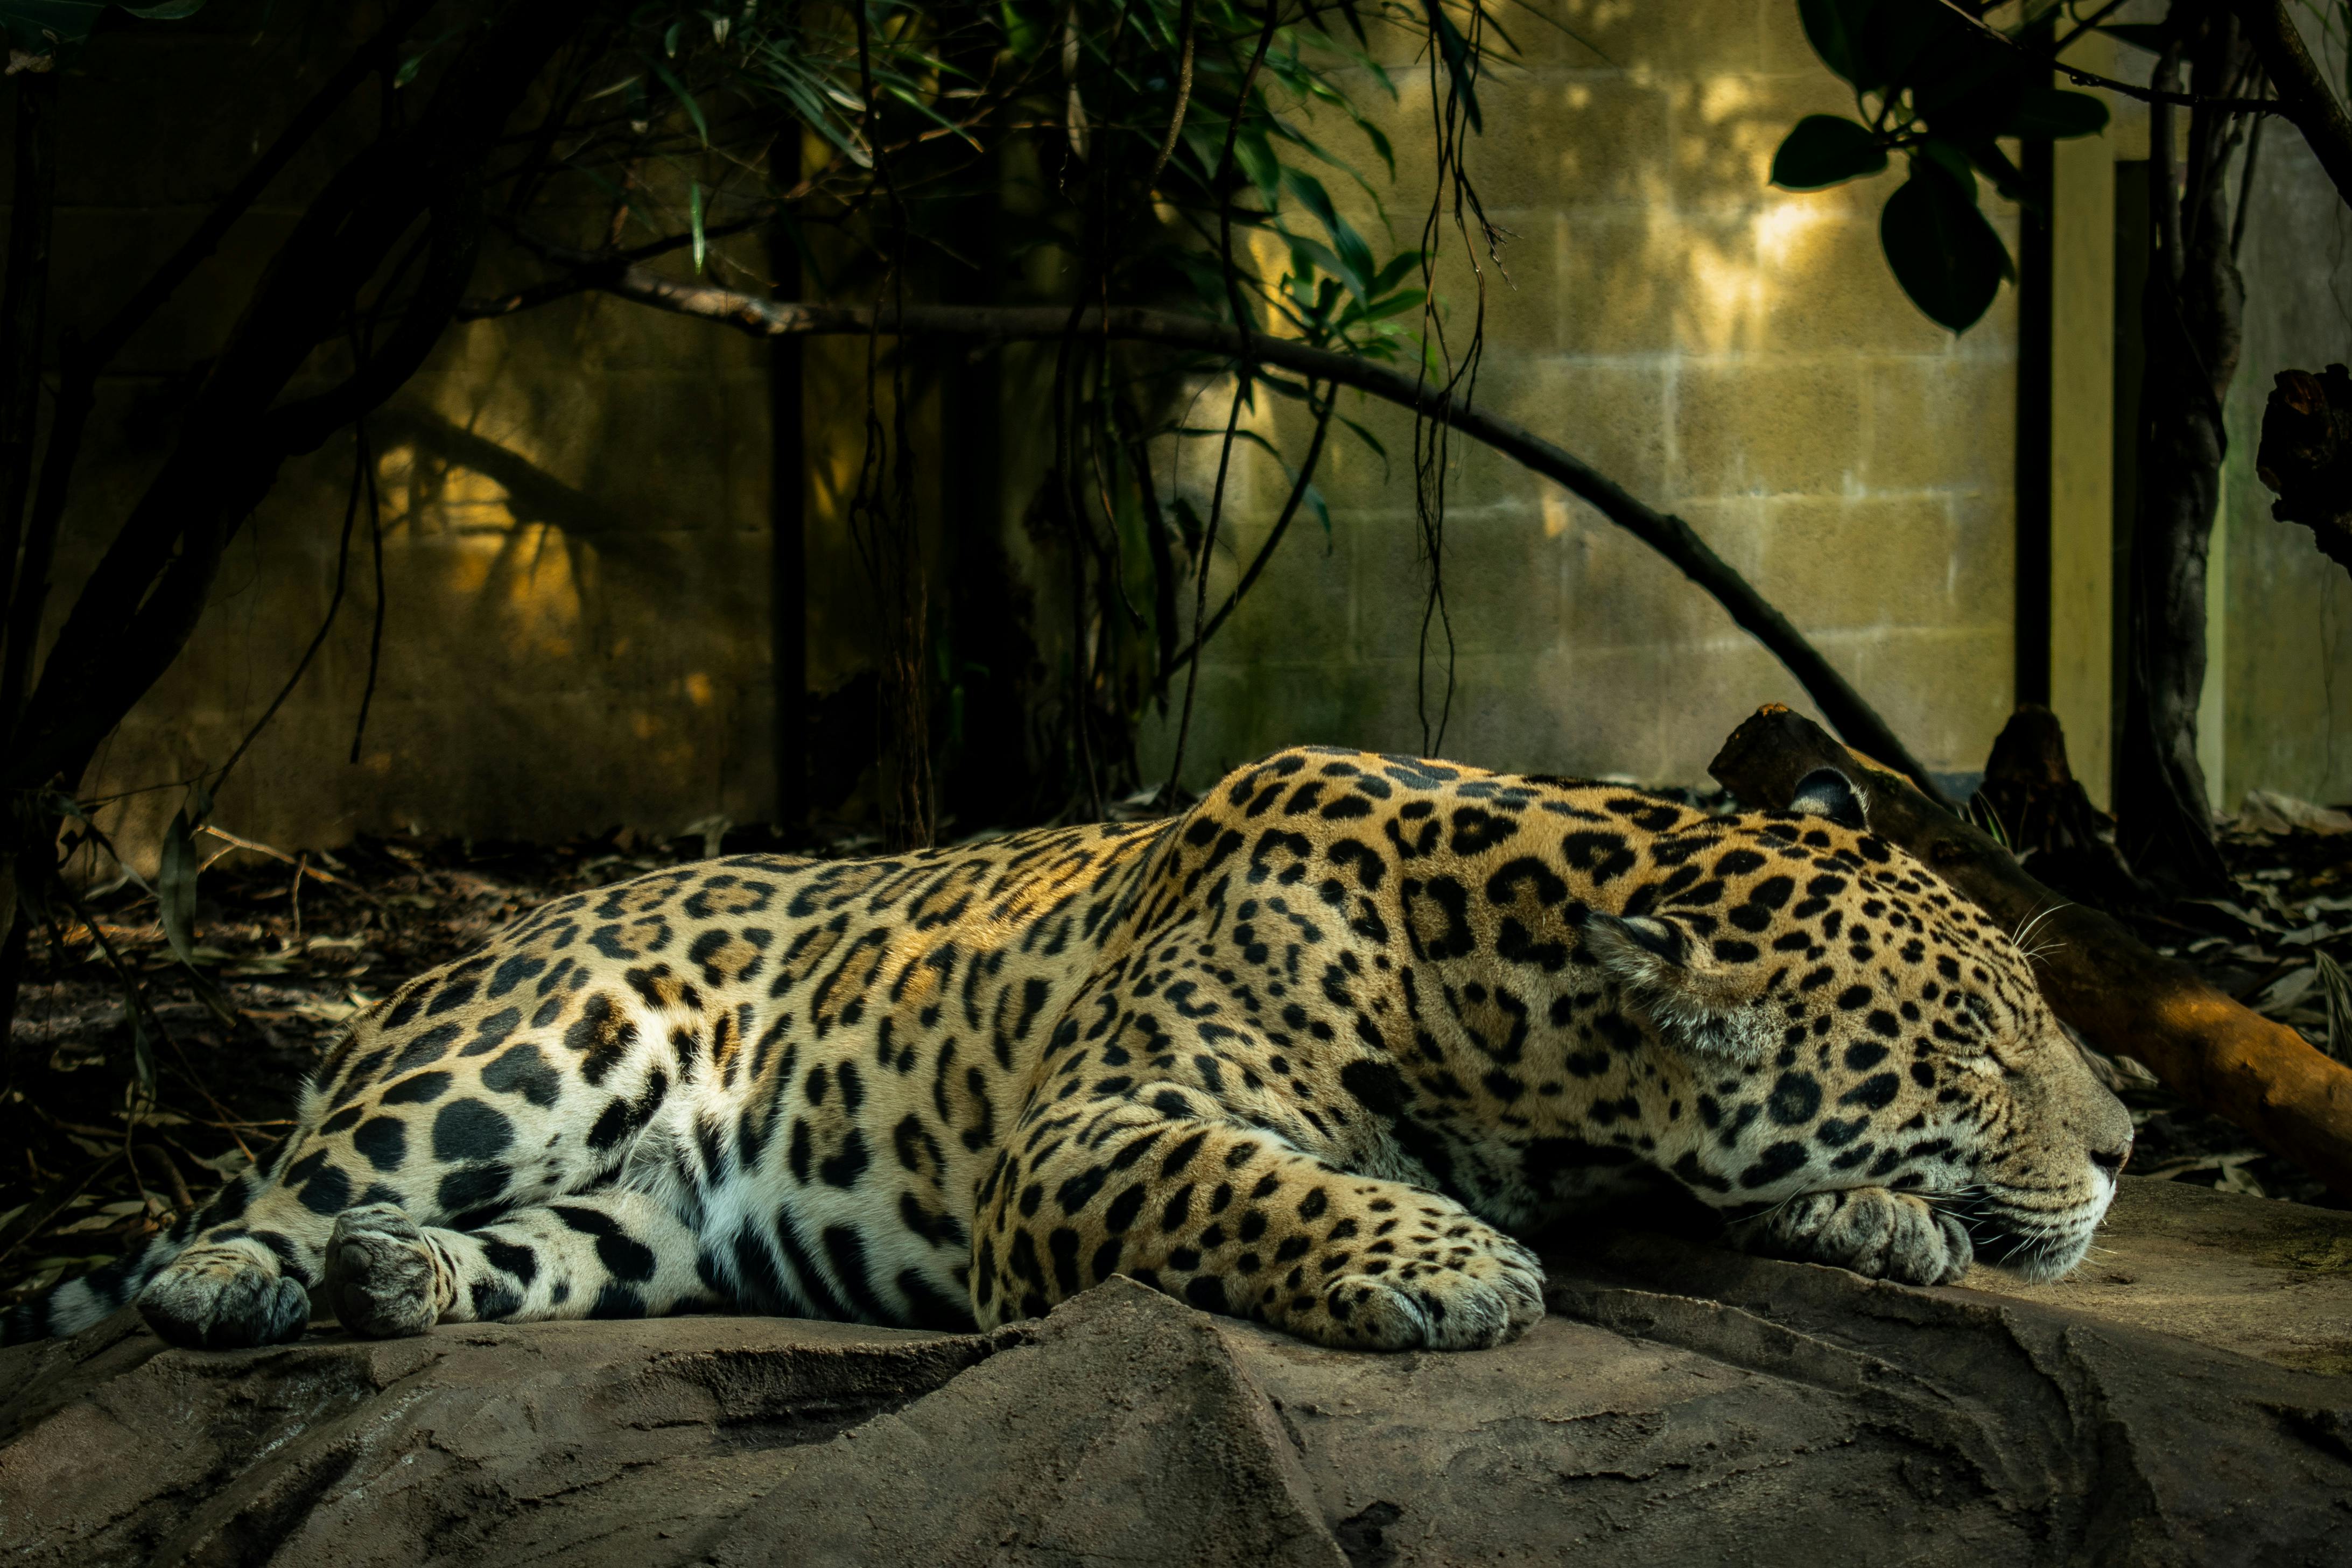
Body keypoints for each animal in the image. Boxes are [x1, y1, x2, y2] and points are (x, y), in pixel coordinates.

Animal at [3, 746, 2133, 1356]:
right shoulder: (1102, 1127)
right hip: (525, 1044)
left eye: (2030, 1018)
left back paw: (405, 1282)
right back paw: (242, 1275)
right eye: (1975, 1045)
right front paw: (1446, 1262)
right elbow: (1257, 1170)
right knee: (285, 1184)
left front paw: (1883, 1224)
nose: (2131, 1136)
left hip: (650, 1224)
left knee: (543, 1244)